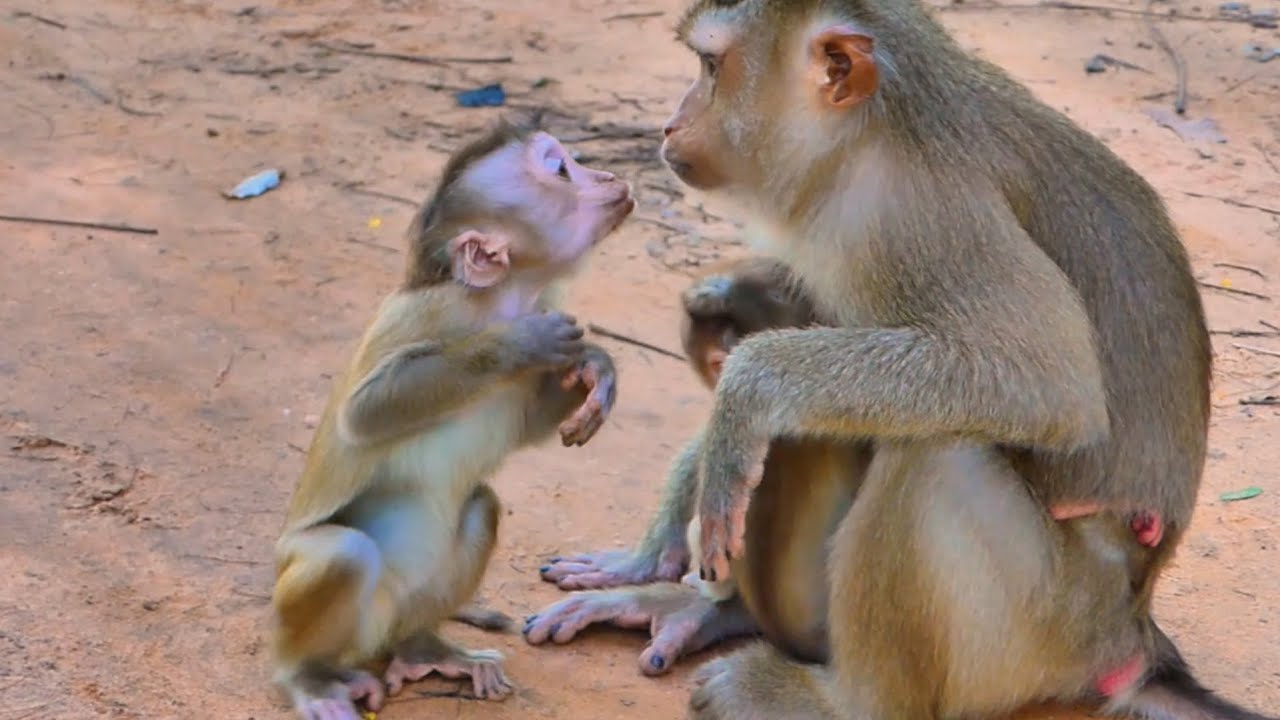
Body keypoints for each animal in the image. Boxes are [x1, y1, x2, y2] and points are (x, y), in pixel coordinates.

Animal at [269, 119, 635, 720]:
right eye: (561, 169)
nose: (607, 175)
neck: (502, 300)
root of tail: (378, 633)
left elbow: (532, 423)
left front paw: (596, 367)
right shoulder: (432, 312)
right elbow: (365, 411)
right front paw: (516, 345)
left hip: (399, 612)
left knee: (480, 507)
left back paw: (423, 649)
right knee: (341, 553)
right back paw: (308, 677)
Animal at [646, 1, 1274, 719]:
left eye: (710, 66)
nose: (671, 121)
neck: (864, 137)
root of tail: (1134, 639)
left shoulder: (920, 214)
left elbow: (1046, 380)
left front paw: (745, 392)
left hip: (1045, 625)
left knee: (938, 453)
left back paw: (842, 699)